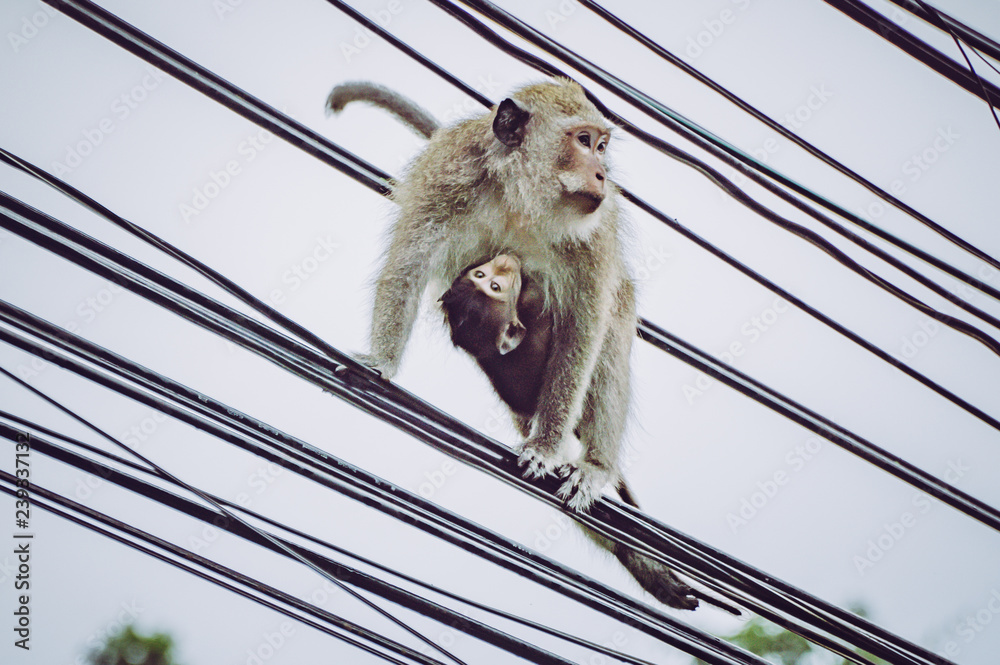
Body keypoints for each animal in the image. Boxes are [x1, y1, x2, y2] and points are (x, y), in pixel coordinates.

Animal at [326, 78, 633, 514]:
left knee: (609, 342)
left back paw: (595, 465)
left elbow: (584, 329)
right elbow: (409, 265)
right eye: (584, 140)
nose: (602, 174)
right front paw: (380, 361)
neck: (522, 199)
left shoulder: (595, 237)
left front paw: (546, 446)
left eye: (602, 146)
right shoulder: (449, 177)